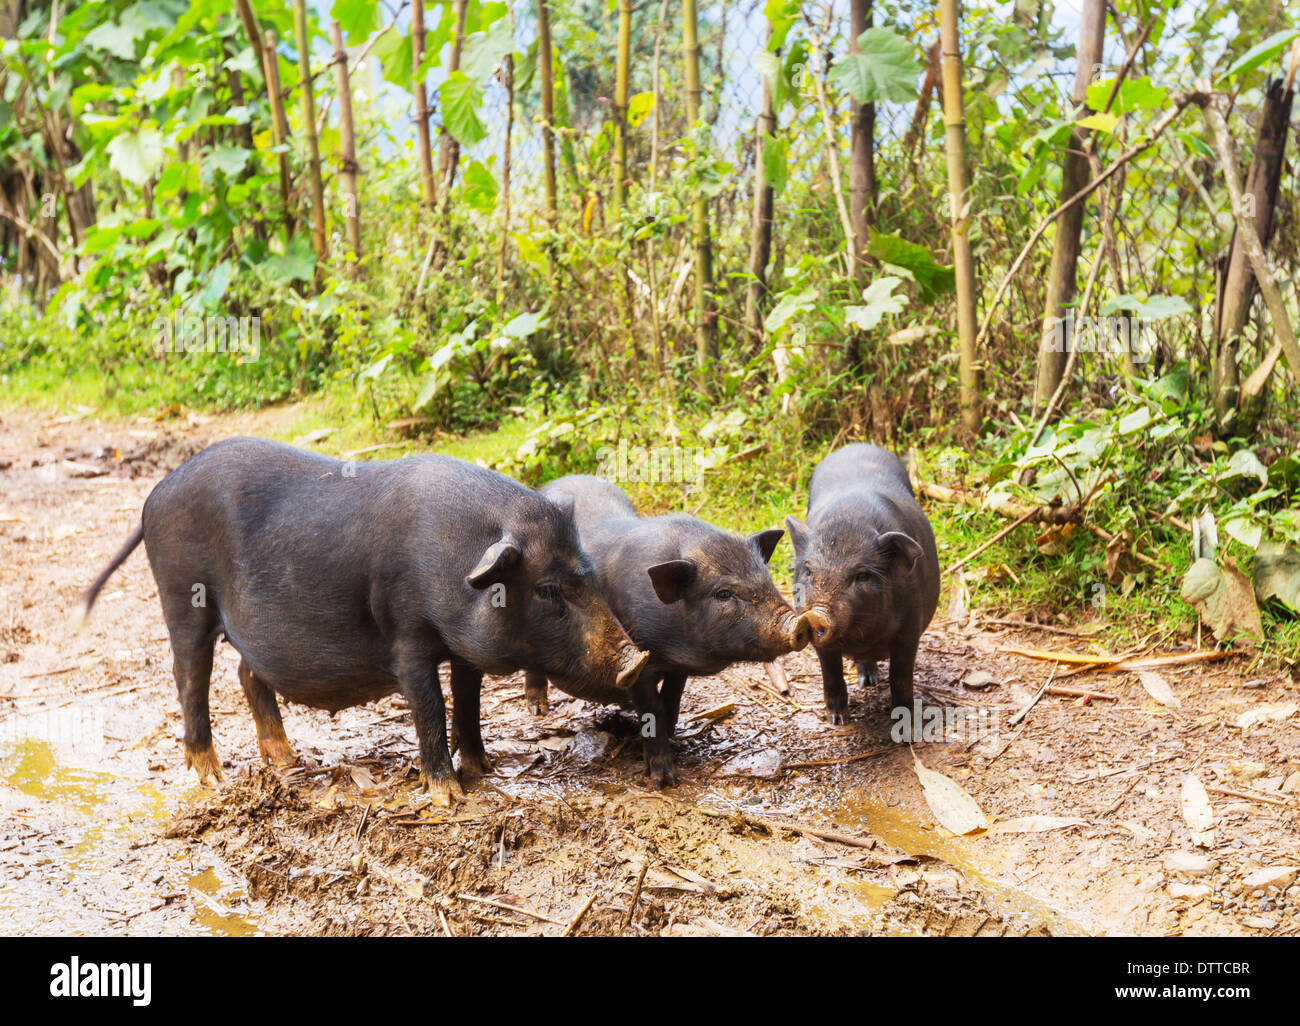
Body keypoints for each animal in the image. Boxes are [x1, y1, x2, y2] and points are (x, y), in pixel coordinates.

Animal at [77, 438, 647, 805]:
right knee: (188, 679)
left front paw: (487, 771)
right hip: (181, 598)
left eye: (588, 574)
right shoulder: (406, 638)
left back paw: (288, 762)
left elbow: (468, 704)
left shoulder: (464, 650)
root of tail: (157, 493)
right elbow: (429, 707)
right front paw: (447, 797)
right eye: (548, 589)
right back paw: (213, 779)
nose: (635, 660)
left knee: (246, 673)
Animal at [520, 475, 816, 787]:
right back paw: (538, 710)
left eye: (766, 578)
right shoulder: (637, 661)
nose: (799, 623)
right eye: (723, 594)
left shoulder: (678, 665)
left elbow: (672, 698)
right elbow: (652, 711)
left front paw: (672, 732)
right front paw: (664, 781)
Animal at [785, 444, 939, 731]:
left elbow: (901, 676)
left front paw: (906, 726)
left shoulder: (910, 629)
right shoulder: (821, 645)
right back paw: (866, 682)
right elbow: (831, 674)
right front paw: (838, 721)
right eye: (808, 570)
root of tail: (855, 446)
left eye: (862, 576)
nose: (817, 613)